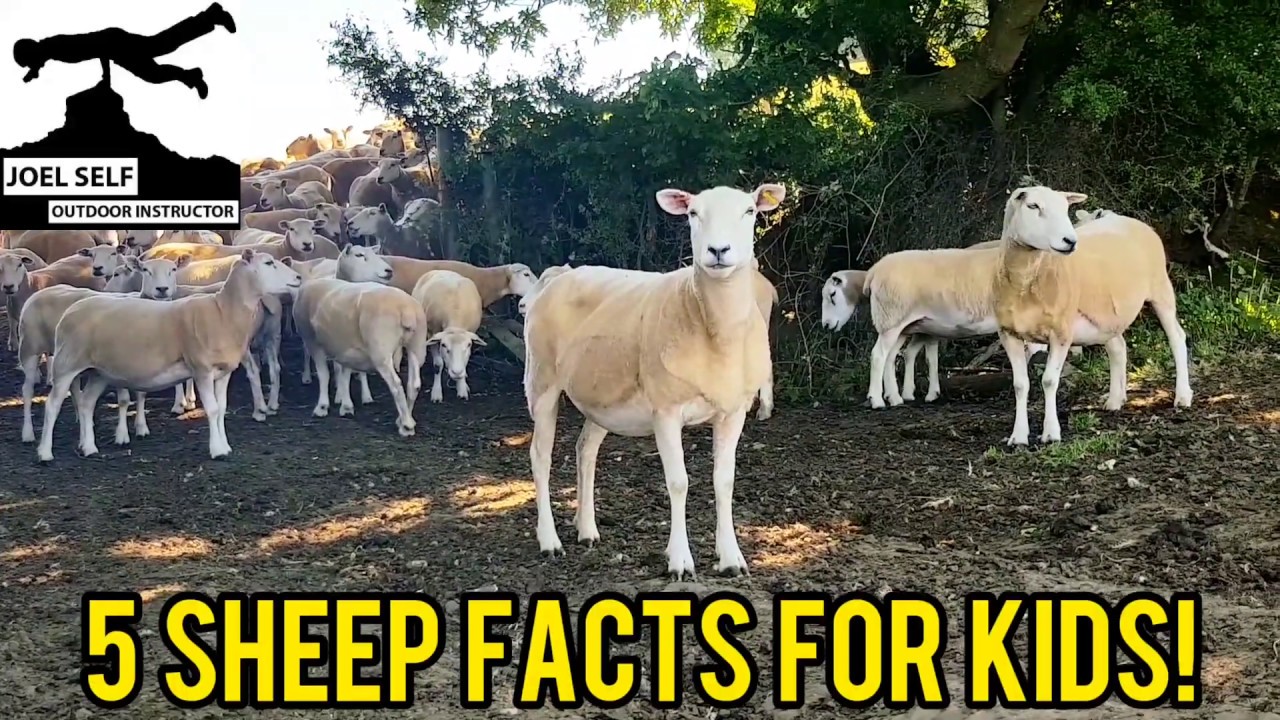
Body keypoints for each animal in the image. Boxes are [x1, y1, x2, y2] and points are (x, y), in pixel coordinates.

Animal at [36, 250, 303, 462]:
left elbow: (222, 408)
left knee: (87, 403)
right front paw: (217, 450)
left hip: (98, 372)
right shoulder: (201, 369)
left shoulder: (223, 372)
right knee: (52, 405)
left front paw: (225, 446)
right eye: (268, 263)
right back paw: (45, 453)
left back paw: (89, 447)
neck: (223, 311)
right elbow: (212, 410)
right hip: (66, 364)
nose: (299, 278)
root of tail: (73, 309)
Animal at [291, 249, 426, 436]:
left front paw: (322, 407)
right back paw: (405, 420)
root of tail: (405, 309)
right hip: (417, 346)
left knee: (396, 384)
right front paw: (346, 405)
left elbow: (324, 374)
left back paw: (406, 425)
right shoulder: (345, 347)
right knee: (414, 385)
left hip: (380, 350)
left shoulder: (313, 341)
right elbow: (344, 373)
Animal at [411, 270, 486, 403]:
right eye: (444, 345)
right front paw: (436, 393)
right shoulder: (433, 333)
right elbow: (438, 365)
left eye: (469, 345)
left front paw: (462, 387)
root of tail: (441, 270)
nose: (457, 372)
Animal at [523, 182, 782, 578]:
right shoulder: (666, 410)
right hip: (542, 379)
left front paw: (732, 559)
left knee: (585, 450)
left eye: (749, 211)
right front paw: (680, 562)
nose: (718, 251)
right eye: (693, 213)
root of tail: (557, 275)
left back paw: (587, 530)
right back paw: (549, 540)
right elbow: (678, 483)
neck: (715, 331)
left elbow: (724, 482)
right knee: (540, 456)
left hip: (602, 396)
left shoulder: (733, 411)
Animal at [992, 187, 1191, 446]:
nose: (1070, 241)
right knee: (1118, 347)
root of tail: (1129, 219)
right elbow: (1019, 385)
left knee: (1176, 337)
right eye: (1033, 206)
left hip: (1161, 289)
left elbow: (1049, 380)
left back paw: (1183, 396)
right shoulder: (1009, 334)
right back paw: (1115, 400)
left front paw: (1051, 433)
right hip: (1106, 318)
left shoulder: (1061, 332)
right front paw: (1018, 436)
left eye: (1065, 208)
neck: (1026, 280)